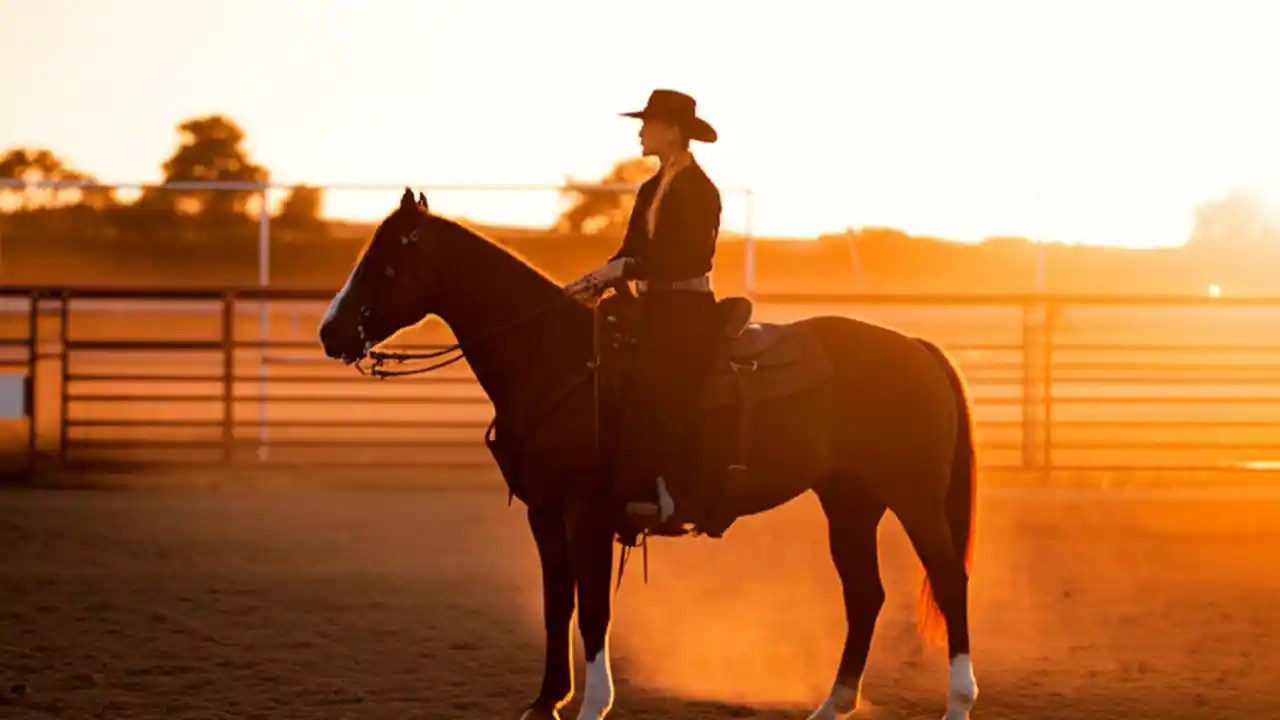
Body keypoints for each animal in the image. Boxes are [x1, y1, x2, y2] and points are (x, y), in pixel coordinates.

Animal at [317, 188, 980, 720]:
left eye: (385, 263)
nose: (330, 333)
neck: (556, 358)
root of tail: (917, 346)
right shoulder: (544, 513)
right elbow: (558, 605)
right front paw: (545, 701)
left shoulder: (585, 512)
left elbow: (592, 610)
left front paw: (592, 704)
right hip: (849, 501)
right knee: (865, 593)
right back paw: (831, 705)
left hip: (915, 498)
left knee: (949, 581)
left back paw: (957, 702)